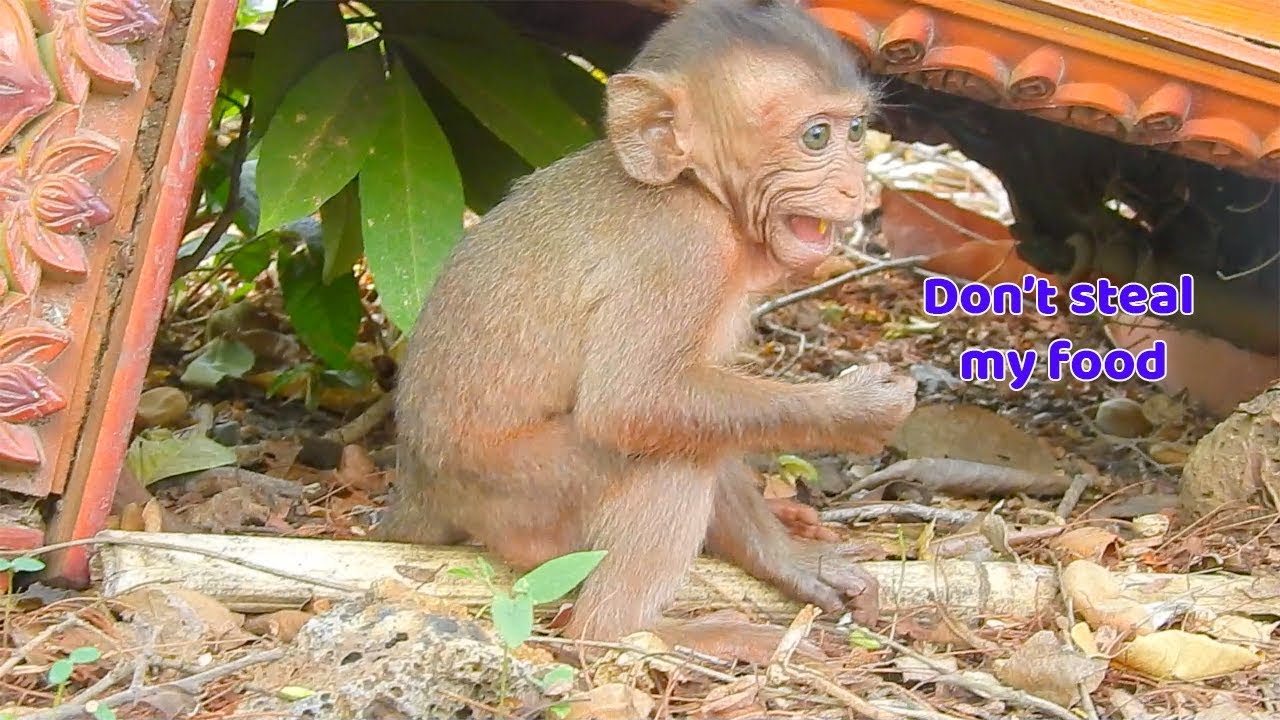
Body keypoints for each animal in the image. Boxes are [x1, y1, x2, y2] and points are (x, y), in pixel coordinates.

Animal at [378, 0, 918, 661]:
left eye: (856, 131)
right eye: (816, 136)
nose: (856, 188)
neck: (696, 188)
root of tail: (417, 492)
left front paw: (788, 558)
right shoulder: (684, 249)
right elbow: (635, 405)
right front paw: (856, 410)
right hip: (522, 495)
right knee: (660, 460)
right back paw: (626, 630)